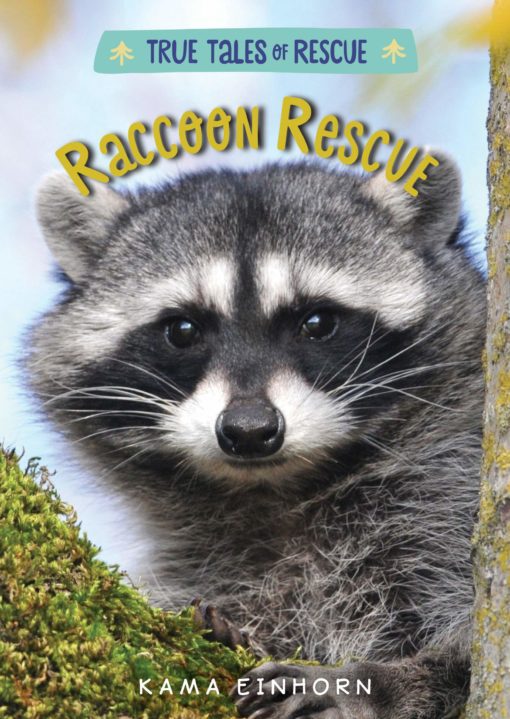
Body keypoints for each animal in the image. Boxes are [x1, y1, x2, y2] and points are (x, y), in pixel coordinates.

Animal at [27, 158, 485, 719]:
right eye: (182, 330)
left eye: (317, 322)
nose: (248, 431)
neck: (277, 490)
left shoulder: (448, 501)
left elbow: (462, 656)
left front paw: (373, 683)